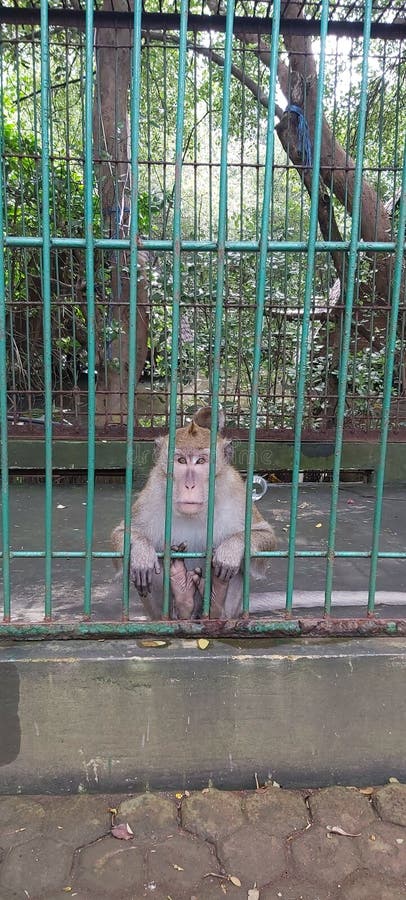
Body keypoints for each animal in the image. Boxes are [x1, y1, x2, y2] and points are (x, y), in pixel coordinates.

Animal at [111, 407, 276, 619]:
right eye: (181, 460)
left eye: (201, 461)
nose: (190, 485)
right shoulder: (153, 493)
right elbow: (122, 533)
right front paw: (141, 551)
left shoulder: (237, 494)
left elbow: (265, 535)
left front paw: (231, 549)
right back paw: (182, 599)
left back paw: (215, 602)